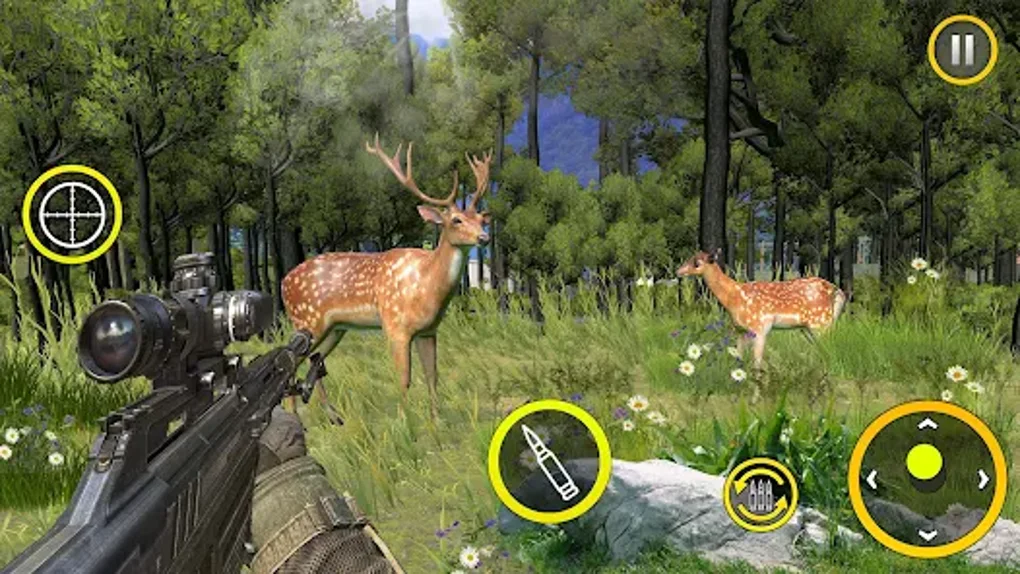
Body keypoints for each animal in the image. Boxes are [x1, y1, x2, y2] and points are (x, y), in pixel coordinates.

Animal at [281, 135, 492, 419]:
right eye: (456, 220)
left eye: (481, 218)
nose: (484, 237)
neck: (426, 286)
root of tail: (283, 282)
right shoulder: (395, 326)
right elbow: (404, 378)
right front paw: (404, 423)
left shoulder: (428, 331)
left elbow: (432, 376)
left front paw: (436, 421)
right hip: (306, 319)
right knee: (293, 361)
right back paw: (293, 416)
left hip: (334, 328)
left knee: (315, 361)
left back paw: (333, 416)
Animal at [676, 249, 846, 366]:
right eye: (689, 258)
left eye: (697, 263)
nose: (678, 271)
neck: (733, 297)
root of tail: (837, 291)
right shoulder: (740, 330)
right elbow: (738, 357)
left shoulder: (760, 327)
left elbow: (757, 361)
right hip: (811, 328)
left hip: (821, 322)